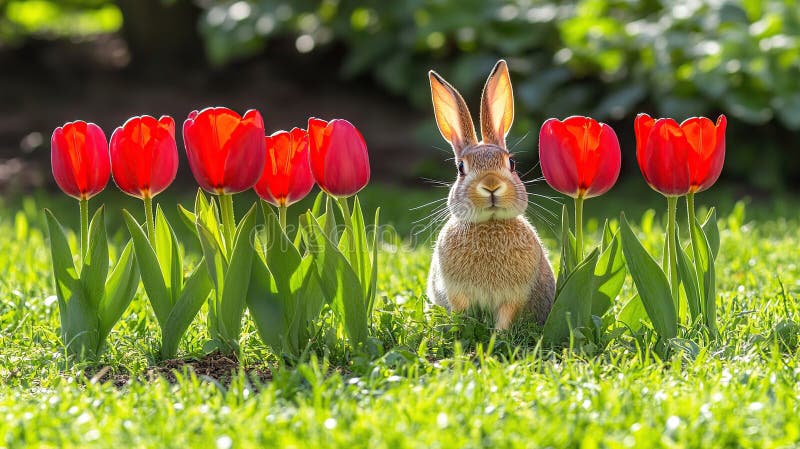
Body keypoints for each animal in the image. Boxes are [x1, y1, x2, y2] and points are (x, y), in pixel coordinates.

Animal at [426, 59, 556, 330]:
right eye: (460, 168)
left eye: (512, 164)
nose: (492, 184)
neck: (490, 223)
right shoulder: (457, 293)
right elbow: (461, 312)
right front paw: (462, 330)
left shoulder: (514, 297)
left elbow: (505, 316)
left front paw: (499, 334)